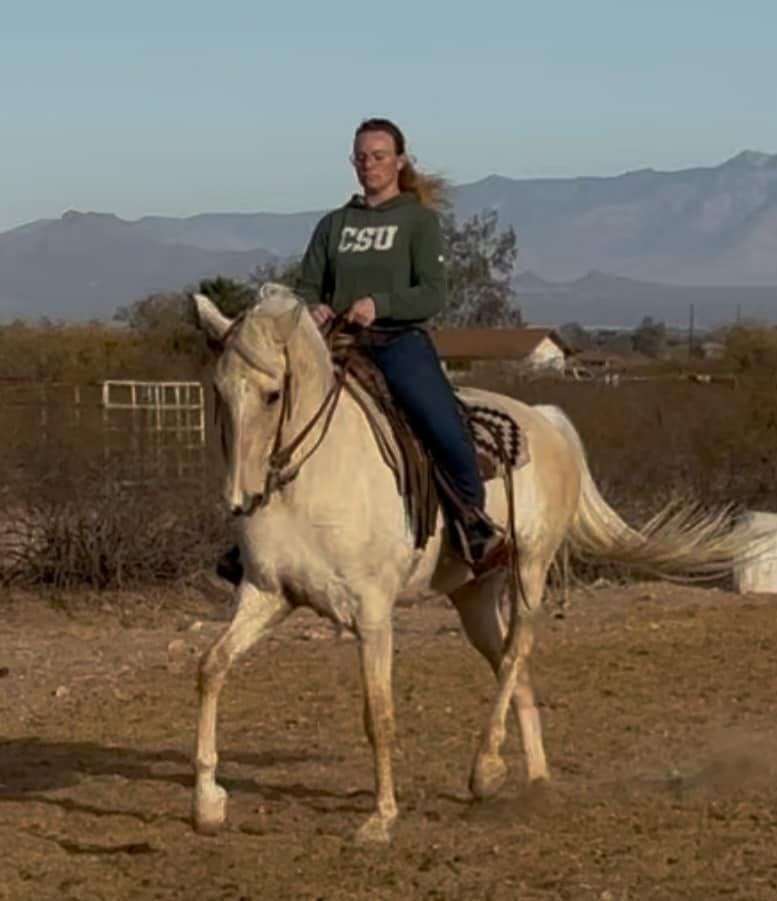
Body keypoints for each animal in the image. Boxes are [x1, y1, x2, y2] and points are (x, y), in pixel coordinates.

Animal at [191, 283, 755, 845]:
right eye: (218, 390)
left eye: (272, 395)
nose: (239, 498)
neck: (312, 475)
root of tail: (547, 422)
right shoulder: (268, 595)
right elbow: (212, 667)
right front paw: (207, 802)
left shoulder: (372, 612)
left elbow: (379, 713)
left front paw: (382, 817)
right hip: (475, 595)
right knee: (513, 667)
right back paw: (536, 780)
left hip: (531, 568)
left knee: (516, 653)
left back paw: (486, 769)